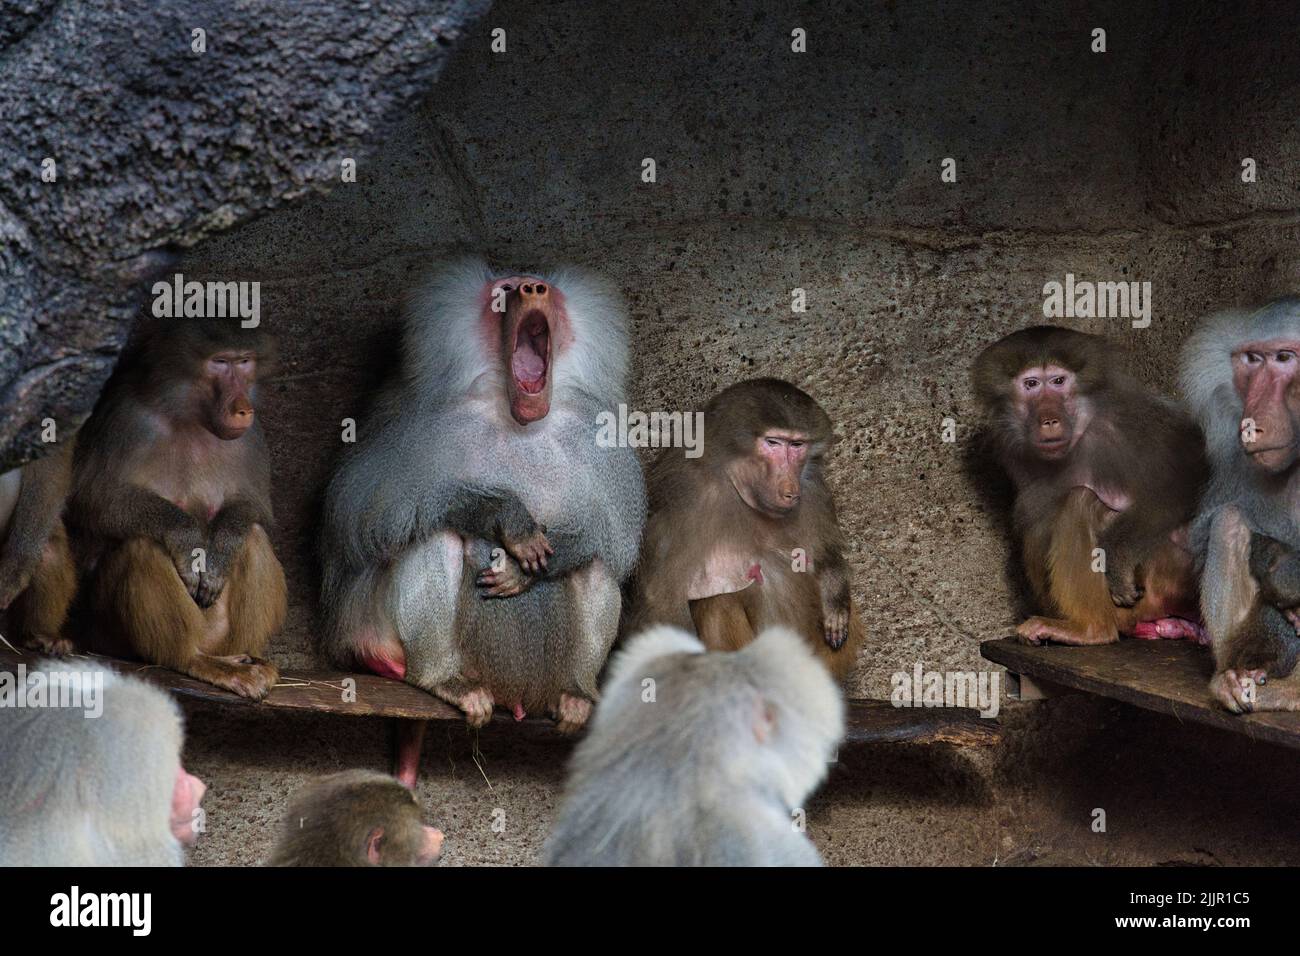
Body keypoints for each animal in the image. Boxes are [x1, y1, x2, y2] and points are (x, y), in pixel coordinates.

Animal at [68, 320, 285, 699]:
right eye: (220, 362)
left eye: (244, 361)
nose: (244, 409)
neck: (191, 416)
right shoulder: (126, 418)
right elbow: (94, 499)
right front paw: (186, 540)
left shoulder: (251, 436)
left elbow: (253, 508)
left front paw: (219, 552)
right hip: (112, 635)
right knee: (143, 545)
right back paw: (195, 660)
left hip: (221, 632)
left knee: (254, 537)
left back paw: (247, 661)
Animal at [319, 258, 646, 784]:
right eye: (505, 290)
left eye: (542, 287)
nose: (531, 289)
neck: (520, 420)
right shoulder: (412, 420)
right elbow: (359, 515)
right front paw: (506, 516)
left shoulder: (600, 439)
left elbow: (610, 541)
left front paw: (525, 565)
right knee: (434, 538)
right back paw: (442, 680)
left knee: (594, 565)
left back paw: (577, 694)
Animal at [628, 378, 863, 680]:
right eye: (772, 443)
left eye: (797, 444)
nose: (790, 490)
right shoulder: (682, 494)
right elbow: (661, 597)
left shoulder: (813, 489)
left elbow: (826, 554)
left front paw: (836, 603)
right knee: (718, 602)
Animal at [972, 326, 1209, 646]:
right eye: (1031, 384)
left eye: (1058, 381)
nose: (1049, 420)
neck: (1083, 427)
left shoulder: (1130, 421)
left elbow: (1190, 480)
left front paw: (1118, 557)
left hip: (1162, 577)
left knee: (1080, 501)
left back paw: (1091, 629)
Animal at [1180, 298, 1300, 712]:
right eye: (1252, 359)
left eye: (1285, 358)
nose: (1253, 422)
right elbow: (1207, 532)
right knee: (1229, 521)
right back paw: (1231, 679)